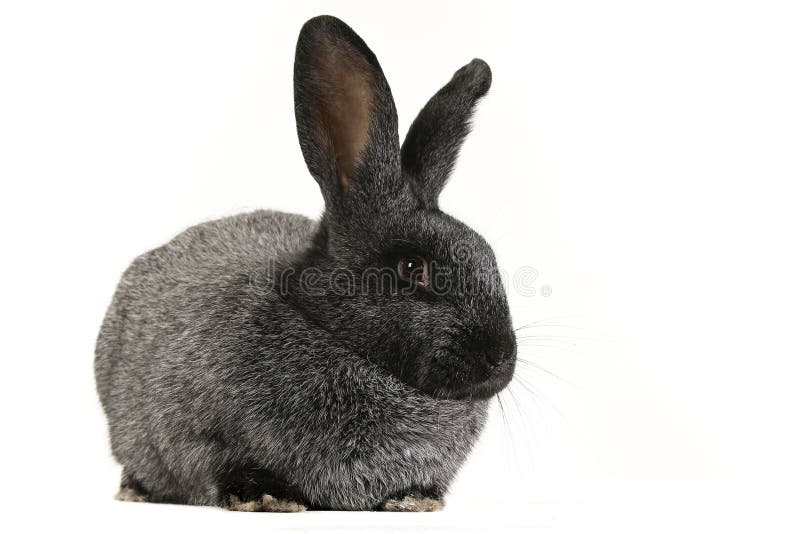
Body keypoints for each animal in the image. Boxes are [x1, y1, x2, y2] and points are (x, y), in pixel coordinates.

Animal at [95, 15, 516, 512]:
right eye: (413, 268)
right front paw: (267, 498)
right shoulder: (199, 435)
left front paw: (414, 500)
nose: (500, 359)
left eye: (488, 255)